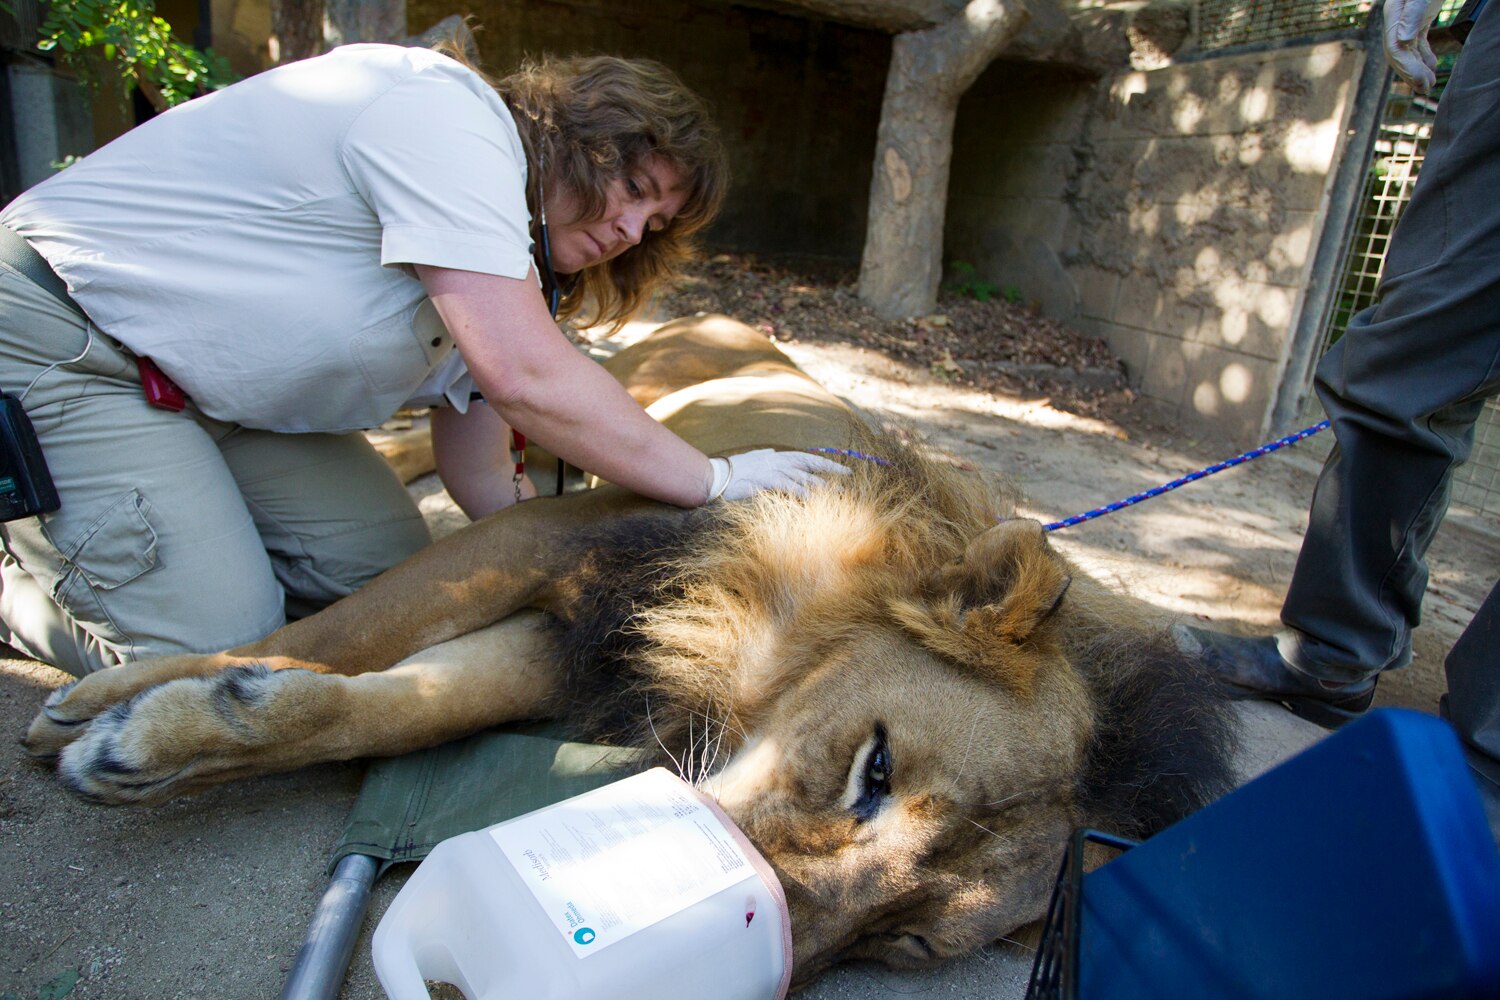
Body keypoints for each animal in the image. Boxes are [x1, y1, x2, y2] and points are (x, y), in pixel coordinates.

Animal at [23, 314, 1236, 985]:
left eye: (913, 944)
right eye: (876, 771)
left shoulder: (573, 642)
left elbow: (389, 702)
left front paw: (175, 733)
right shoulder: (570, 539)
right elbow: (333, 633)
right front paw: (110, 708)